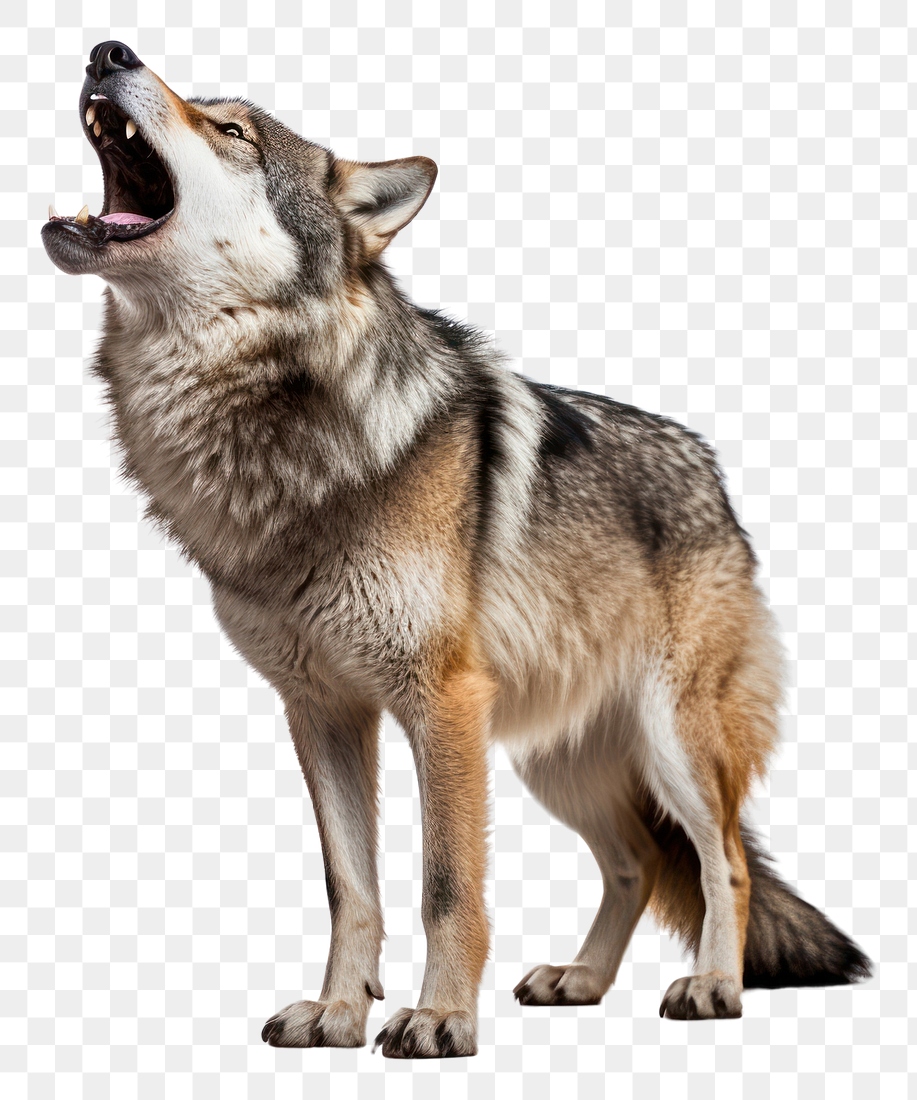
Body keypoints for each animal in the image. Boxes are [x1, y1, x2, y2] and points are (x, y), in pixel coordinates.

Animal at [42, 41, 871, 1058]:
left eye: (231, 129)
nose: (108, 51)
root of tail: (716, 480)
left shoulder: (441, 704)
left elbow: (447, 888)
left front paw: (438, 1017)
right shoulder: (321, 712)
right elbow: (350, 887)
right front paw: (336, 1014)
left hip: (669, 742)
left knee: (724, 862)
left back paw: (712, 986)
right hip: (551, 762)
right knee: (636, 862)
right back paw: (579, 981)